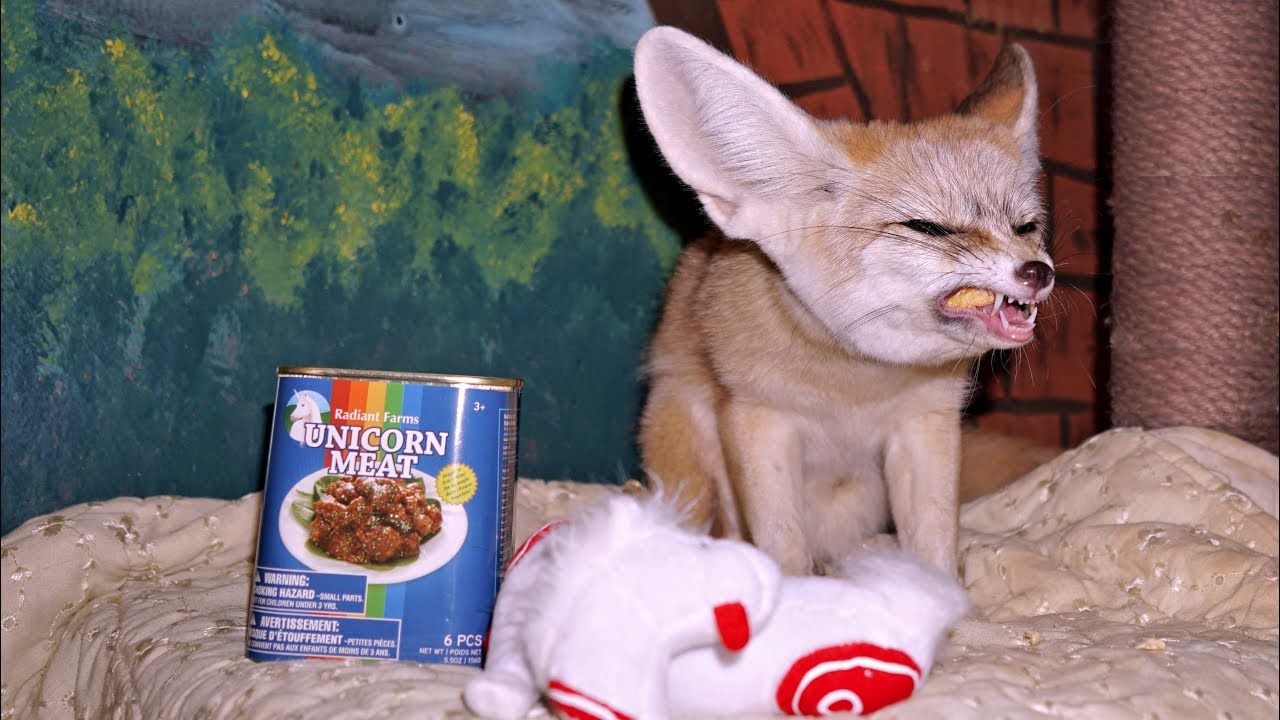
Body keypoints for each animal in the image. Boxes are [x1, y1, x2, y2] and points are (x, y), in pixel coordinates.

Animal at [632, 26, 1056, 577]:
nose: (1039, 273)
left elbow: (935, 547)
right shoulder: (760, 419)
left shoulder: (925, 424)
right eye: (929, 227)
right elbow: (783, 546)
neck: (852, 391)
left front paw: (941, 601)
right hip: (688, 460)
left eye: (1026, 227)